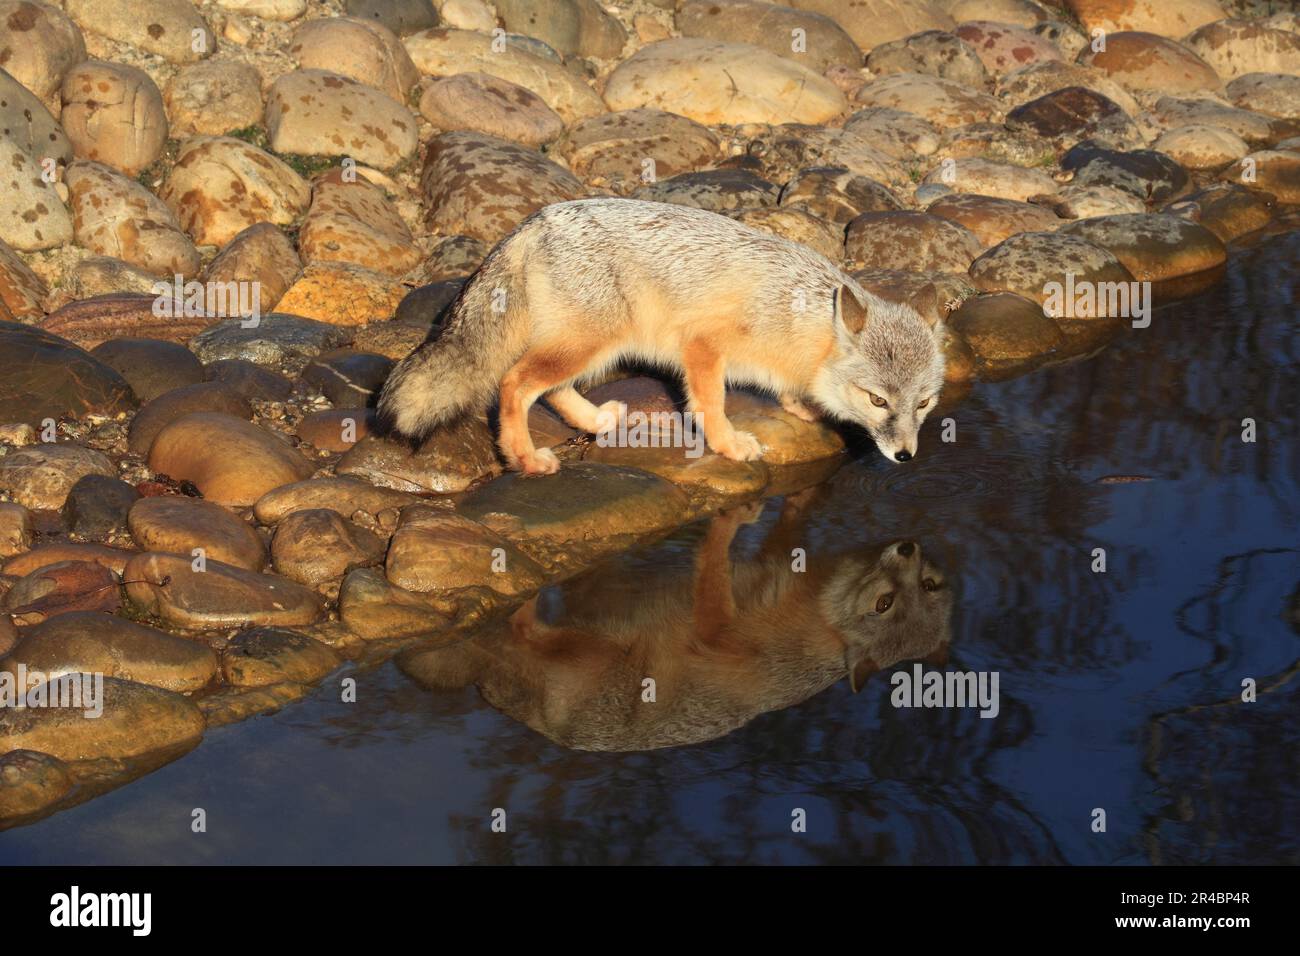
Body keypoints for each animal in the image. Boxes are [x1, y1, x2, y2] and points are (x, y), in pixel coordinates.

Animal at [376, 198, 946, 474]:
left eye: (923, 404)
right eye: (877, 400)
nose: (906, 457)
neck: (796, 313)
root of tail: (535, 220)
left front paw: (799, 403)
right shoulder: (703, 345)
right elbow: (710, 404)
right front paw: (728, 445)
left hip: (594, 347)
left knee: (552, 389)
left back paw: (595, 420)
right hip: (591, 343)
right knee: (514, 383)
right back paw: (525, 459)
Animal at [397, 493, 954, 751]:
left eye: (885, 604)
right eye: (924, 585)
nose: (910, 546)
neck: (816, 619)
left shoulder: (717, 629)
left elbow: (713, 558)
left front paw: (729, 521)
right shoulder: (772, 568)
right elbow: (789, 523)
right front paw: (795, 498)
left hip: (585, 648)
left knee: (523, 628)